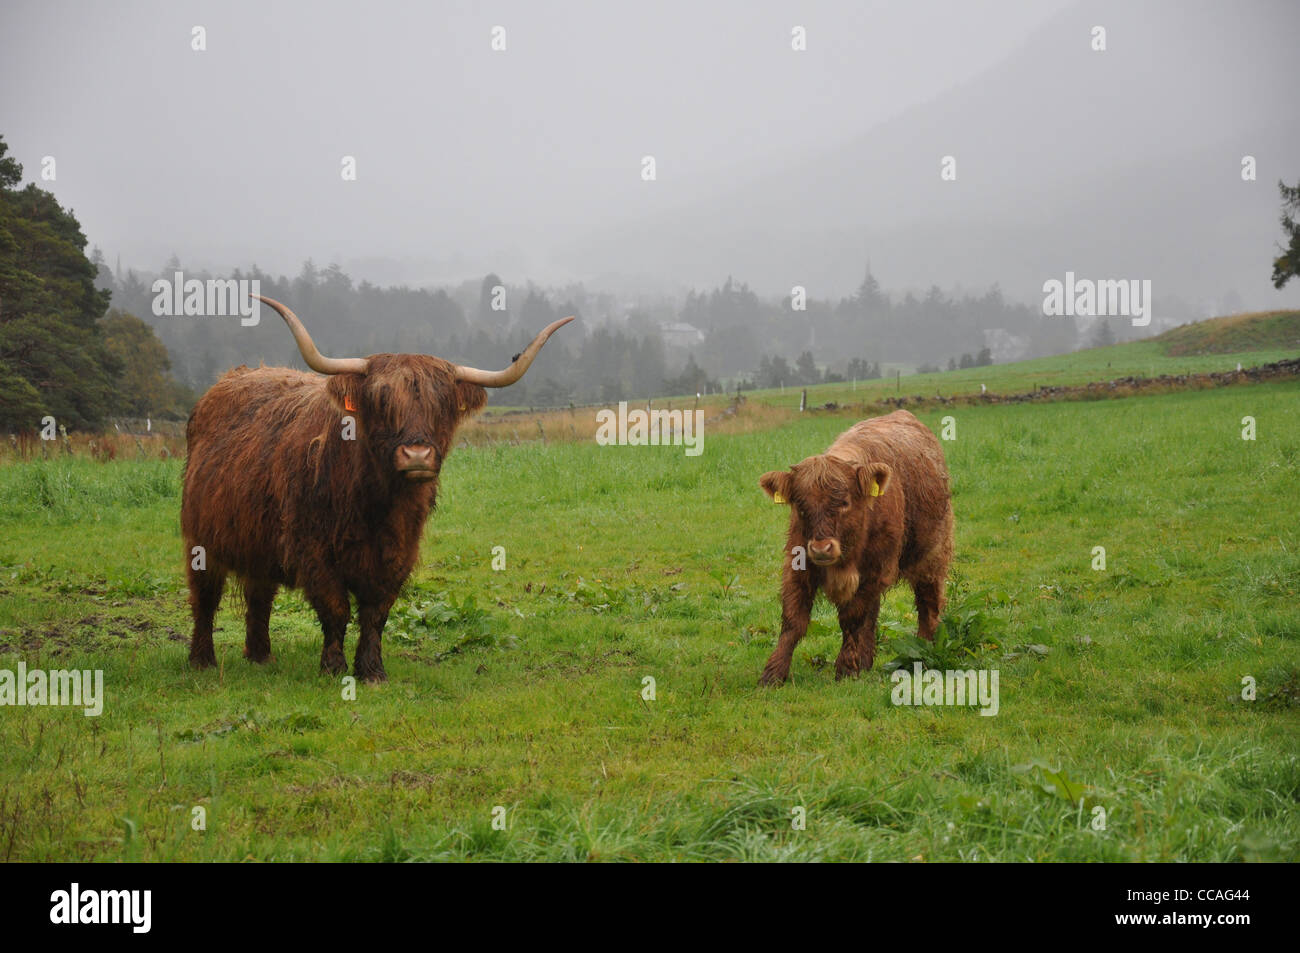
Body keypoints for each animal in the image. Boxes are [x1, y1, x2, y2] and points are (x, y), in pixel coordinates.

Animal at [181, 295, 572, 682]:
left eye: (442, 404)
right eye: (382, 401)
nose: (417, 454)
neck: (377, 504)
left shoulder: (400, 552)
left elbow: (376, 613)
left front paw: (371, 671)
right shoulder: (313, 550)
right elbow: (336, 608)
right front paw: (333, 668)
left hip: (258, 539)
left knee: (259, 593)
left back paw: (261, 656)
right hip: (200, 539)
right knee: (206, 597)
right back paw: (202, 660)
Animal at [756, 409, 954, 685]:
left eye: (844, 502)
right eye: (801, 505)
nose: (821, 548)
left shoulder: (874, 569)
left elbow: (851, 619)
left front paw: (846, 667)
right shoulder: (798, 566)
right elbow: (794, 620)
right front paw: (773, 672)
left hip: (931, 554)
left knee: (928, 604)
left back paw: (925, 651)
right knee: (873, 615)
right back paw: (866, 660)